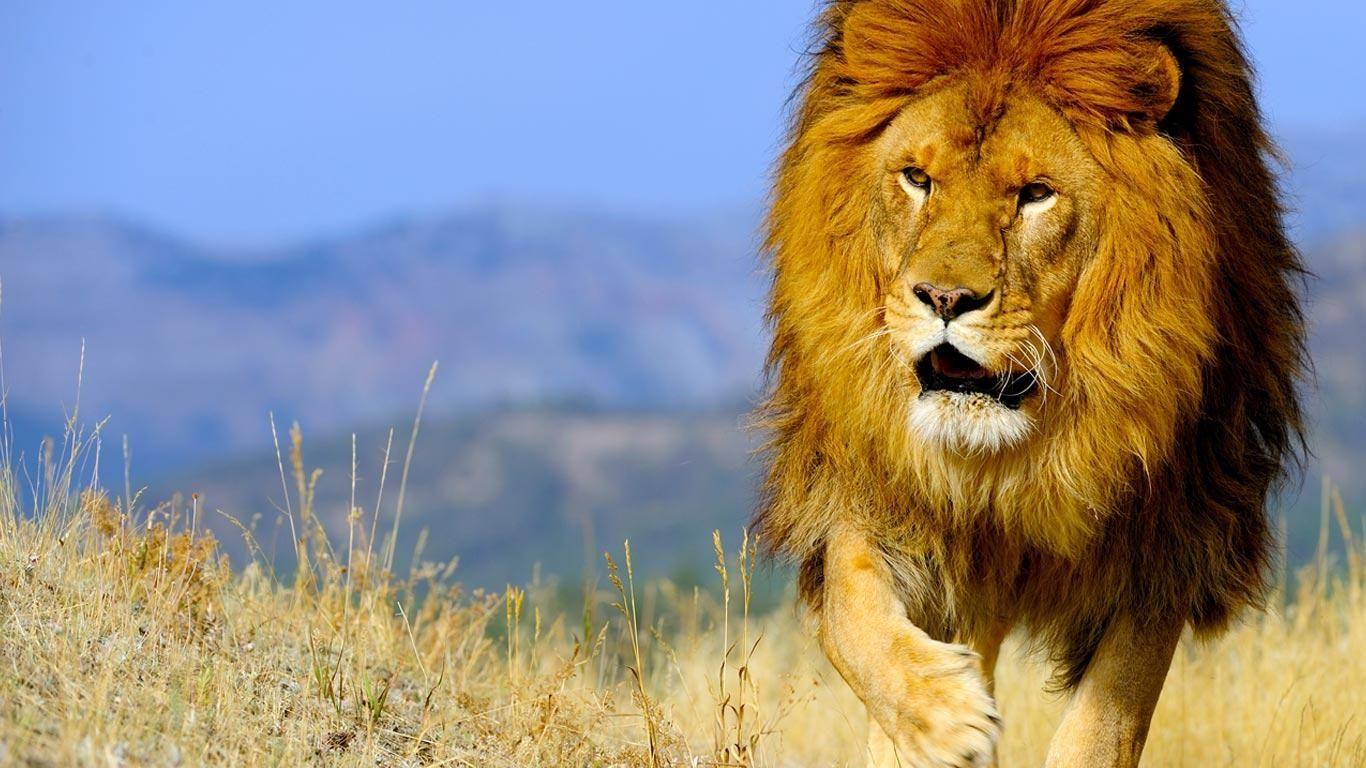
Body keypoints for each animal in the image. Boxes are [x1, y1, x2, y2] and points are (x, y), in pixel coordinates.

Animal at [753, 1, 1306, 766]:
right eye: (917, 179)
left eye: (1036, 195)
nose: (945, 299)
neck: (1008, 456)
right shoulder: (882, 482)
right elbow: (851, 612)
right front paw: (944, 715)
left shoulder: (1171, 530)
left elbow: (1106, 720)